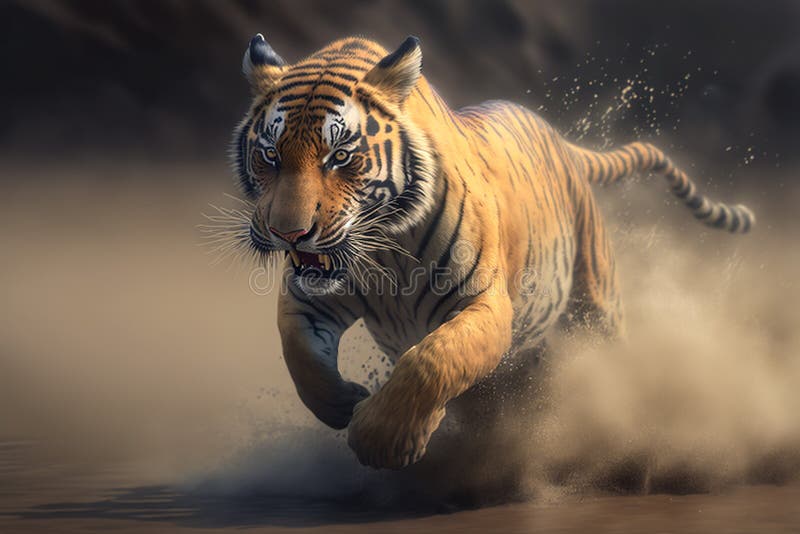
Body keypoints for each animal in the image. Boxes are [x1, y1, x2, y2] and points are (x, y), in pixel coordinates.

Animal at [229, 33, 755, 469]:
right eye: (270, 154)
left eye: (339, 156)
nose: (289, 233)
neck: (383, 249)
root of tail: (562, 141)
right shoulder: (307, 298)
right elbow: (300, 356)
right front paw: (342, 401)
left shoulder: (485, 304)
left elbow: (432, 360)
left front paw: (383, 441)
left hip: (596, 303)